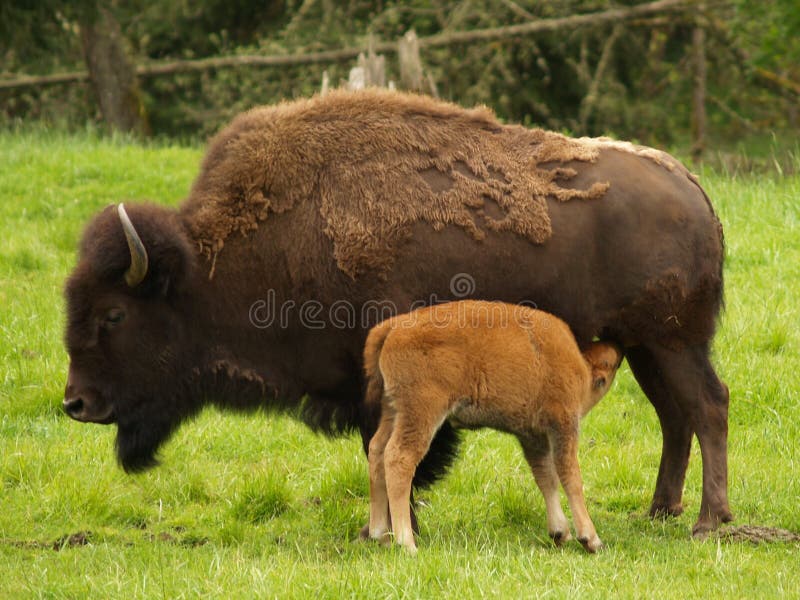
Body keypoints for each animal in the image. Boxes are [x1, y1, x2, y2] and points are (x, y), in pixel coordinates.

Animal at [363, 300, 623, 554]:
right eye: (606, 370)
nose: (617, 348)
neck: (577, 362)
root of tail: (392, 328)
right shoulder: (563, 424)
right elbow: (570, 477)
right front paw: (590, 539)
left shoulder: (533, 438)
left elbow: (546, 478)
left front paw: (559, 532)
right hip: (421, 413)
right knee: (399, 457)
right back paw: (406, 543)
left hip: (392, 411)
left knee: (377, 450)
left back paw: (379, 535)